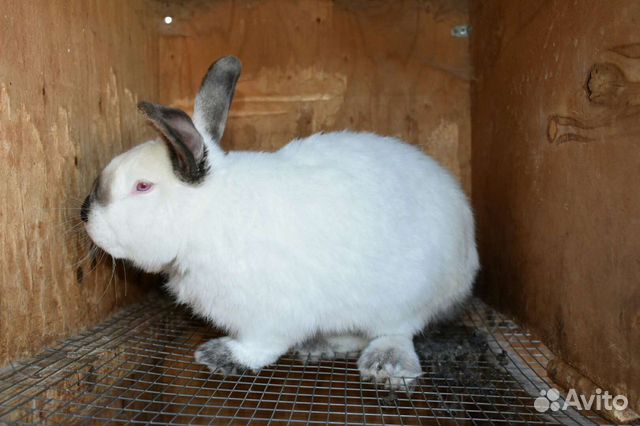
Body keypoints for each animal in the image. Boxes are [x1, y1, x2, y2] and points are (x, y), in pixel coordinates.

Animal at [81, 55, 479, 390]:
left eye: (142, 186)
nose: (85, 214)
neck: (209, 212)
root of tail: (468, 247)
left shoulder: (270, 315)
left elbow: (262, 345)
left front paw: (219, 355)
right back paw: (320, 345)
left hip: (408, 297)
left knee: (397, 331)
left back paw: (386, 363)